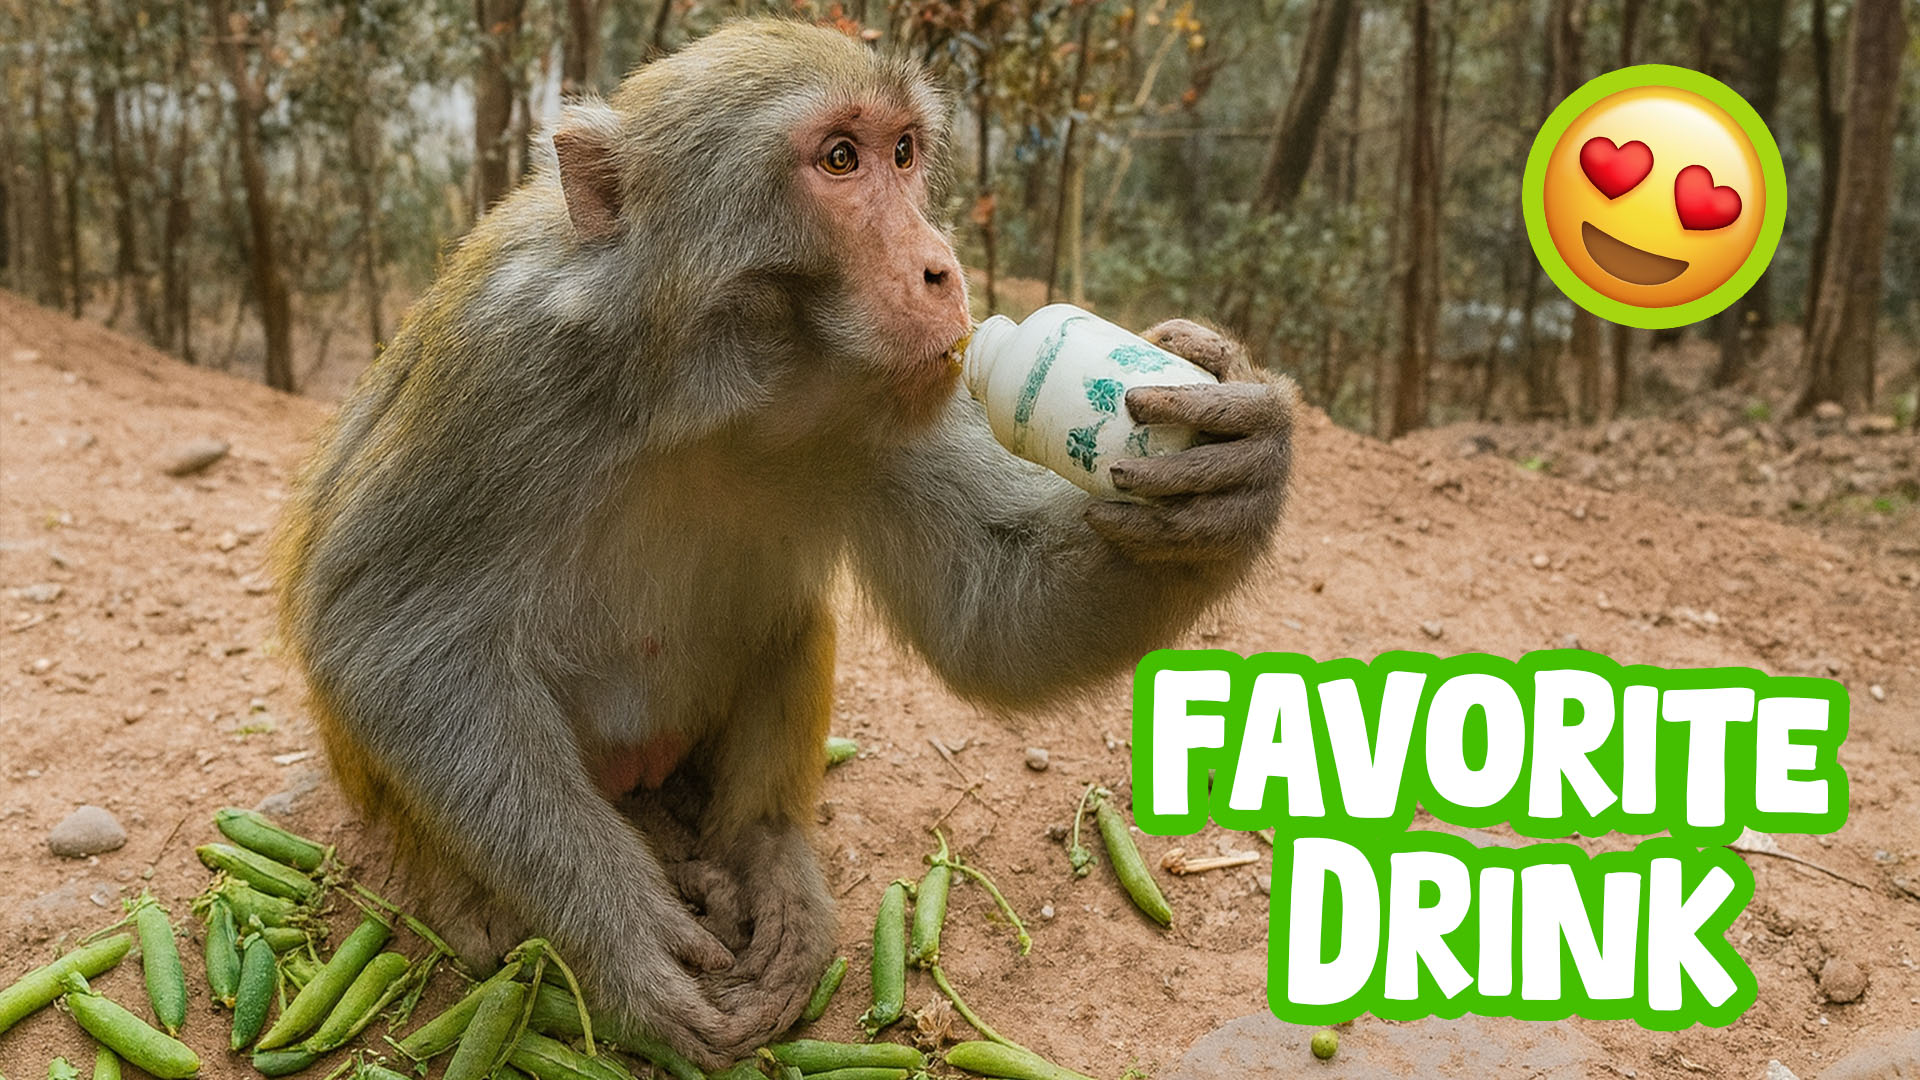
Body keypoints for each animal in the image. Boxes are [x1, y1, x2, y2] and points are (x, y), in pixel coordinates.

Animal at [274, 17, 1296, 1067]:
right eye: (839, 160)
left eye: (903, 153)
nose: (943, 269)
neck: (716, 386)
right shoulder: (506, 356)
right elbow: (385, 635)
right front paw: (618, 931)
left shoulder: (900, 394)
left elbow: (989, 608)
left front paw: (1237, 472)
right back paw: (476, 895)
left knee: (789, 622)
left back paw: (760, 853)